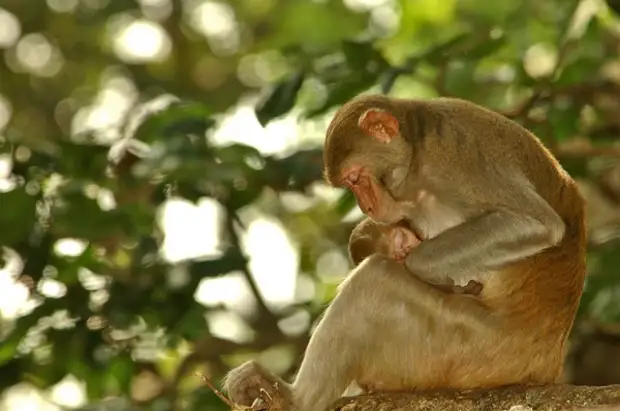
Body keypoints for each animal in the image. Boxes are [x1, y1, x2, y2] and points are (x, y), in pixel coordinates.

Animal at [223, 94, 588, 411]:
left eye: (356, 178)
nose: (366, 205)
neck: (417, 147)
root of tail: (546, 364)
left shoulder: (457, 156)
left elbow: (535, 224)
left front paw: (420, 265)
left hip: (473, 349)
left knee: (374, 279)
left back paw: (295, 400)